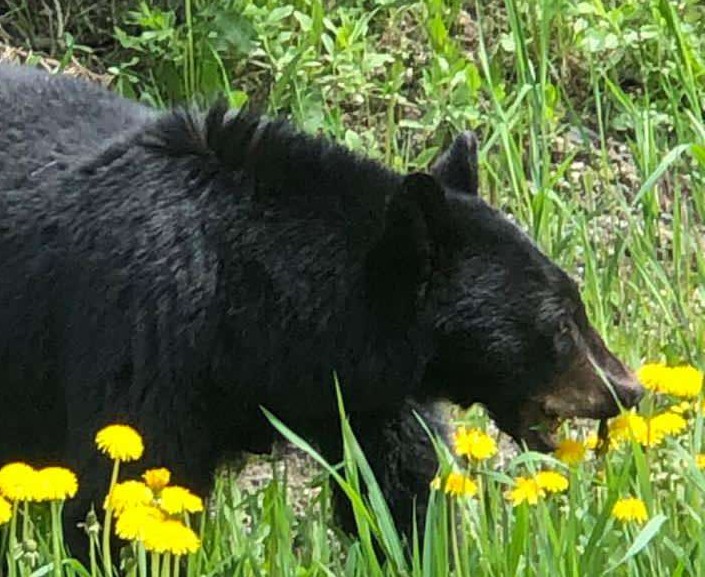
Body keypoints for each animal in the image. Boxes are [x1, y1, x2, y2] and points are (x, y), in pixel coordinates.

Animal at [0, 63, 644, 553]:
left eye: (577, 302)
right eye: (559, 322)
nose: (626, 387)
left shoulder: (363, 393)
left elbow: (399, 484)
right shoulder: (147, 335)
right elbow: (129, 485)